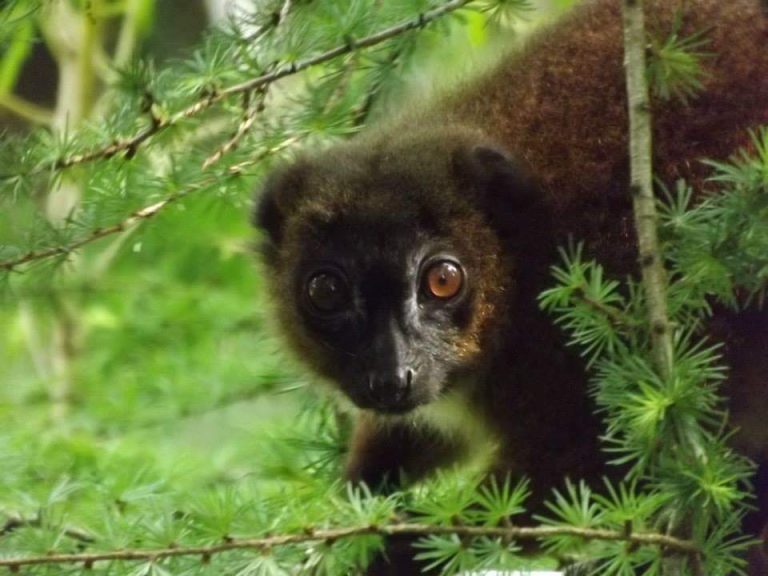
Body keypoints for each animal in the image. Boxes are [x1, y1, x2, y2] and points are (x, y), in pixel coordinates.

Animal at [253, 0, 768, 572]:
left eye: (442, 280)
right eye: (326, 292)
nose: (391, 376)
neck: (522, 276)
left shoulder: (577, 342)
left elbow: (594, 468)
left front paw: (389, 552)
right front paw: (358, 493)